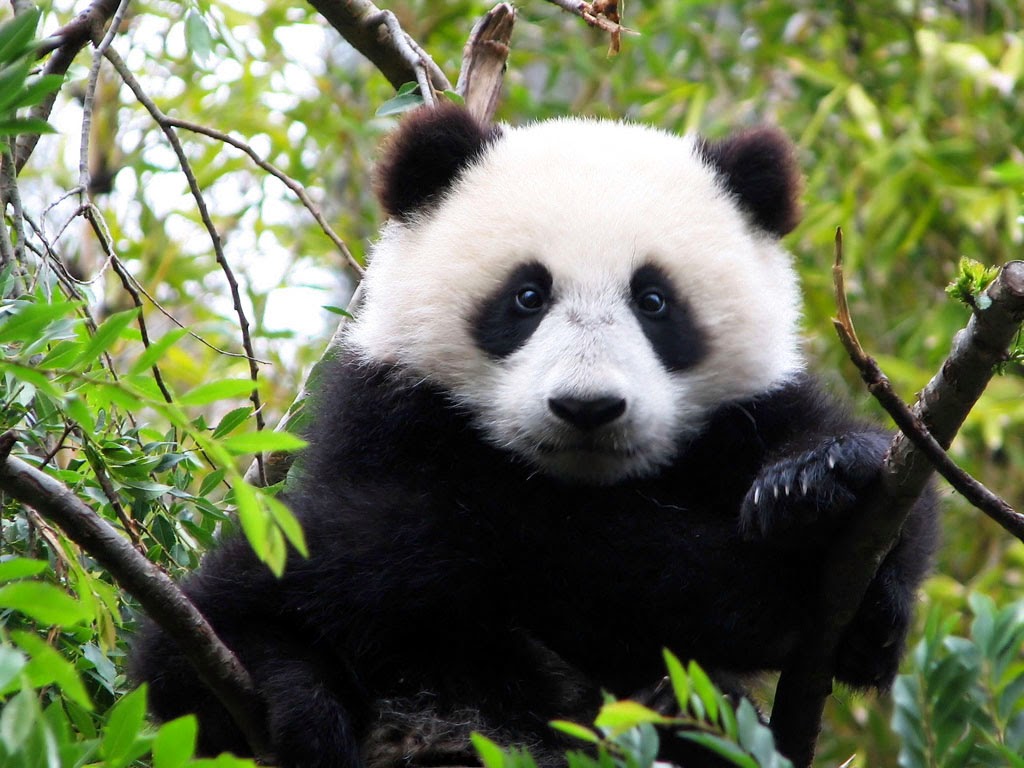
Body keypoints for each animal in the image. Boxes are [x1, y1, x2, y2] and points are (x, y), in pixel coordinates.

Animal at [130, 104, 939, 768]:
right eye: (526, 295)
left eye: (654, 301)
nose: (588, 407)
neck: (578, 485)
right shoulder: (389, 436)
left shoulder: (737, 424)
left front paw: (815, 484)